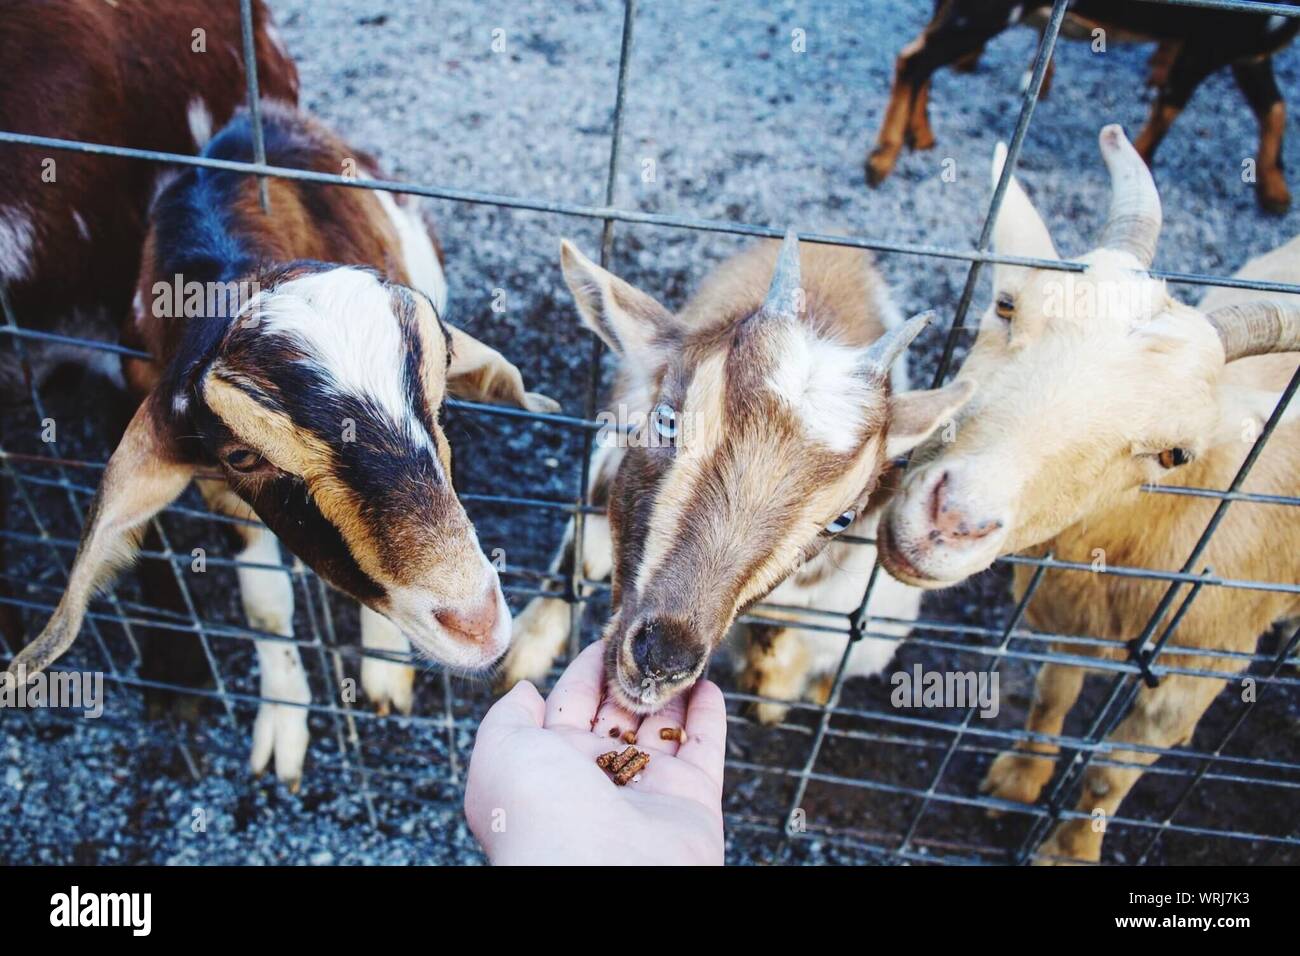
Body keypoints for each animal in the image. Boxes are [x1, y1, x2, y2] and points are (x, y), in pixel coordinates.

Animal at [4, 101, 557, 787]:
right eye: (244, 456)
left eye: (439, 401)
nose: (478, 623)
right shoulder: (217, 485)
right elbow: (265, 603)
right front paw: (283, 722)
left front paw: (384, 669)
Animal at [499, 234, 975, 717]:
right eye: (667, 420)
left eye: (841, 520)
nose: (662, 661)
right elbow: (580, 552)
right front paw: (522, 654)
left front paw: (771, 693)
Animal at [866, 1, 1300, 213]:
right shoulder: (1207, 41)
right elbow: (1171, 104)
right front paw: (1140, 163)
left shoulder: (1251, 51)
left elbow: (1275, 108)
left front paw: (1276, 196)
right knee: (915, 58)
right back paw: (879, 162)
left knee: (924, 53)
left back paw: (922, 138)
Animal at [877, 124, 1300, 863]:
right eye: (1008, 306)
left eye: (1174, 452)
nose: (948, 522)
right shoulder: (1061, 607)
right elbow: (1053, 690)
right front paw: (1019, 777)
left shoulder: (1202, 662)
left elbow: (1110, 769)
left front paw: (1068, 849)